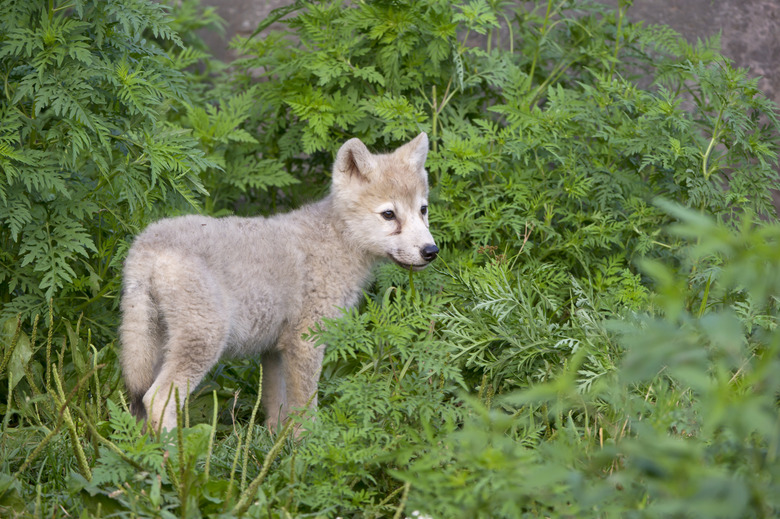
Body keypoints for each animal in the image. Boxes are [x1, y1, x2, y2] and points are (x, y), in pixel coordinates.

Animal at [119, 133, 438, 433]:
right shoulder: (306, 343)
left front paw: (275, 447)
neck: (335, 242)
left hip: (155, 348)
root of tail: (147, 245)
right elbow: (305, 413)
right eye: (389, 215)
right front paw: (309, 446)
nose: (430, 251)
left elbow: (277, 411)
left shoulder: (274, 350)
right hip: (203, 341)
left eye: (422, 210)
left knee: (141, 407)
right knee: (156, 400)